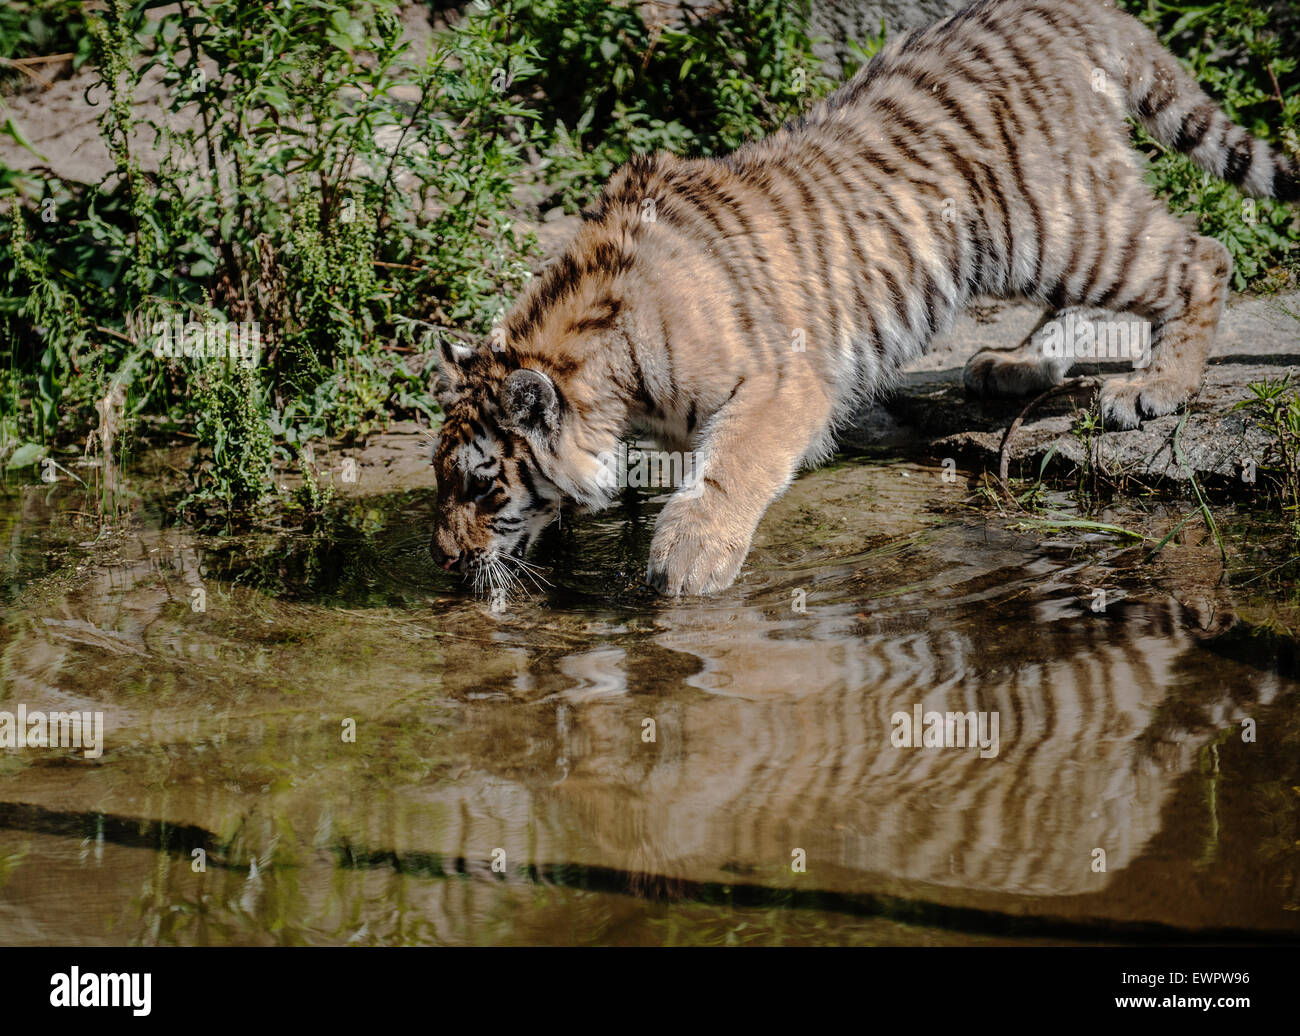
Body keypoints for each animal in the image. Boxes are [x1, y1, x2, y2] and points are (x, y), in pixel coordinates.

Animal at [430, 0, 1299, 597]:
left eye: (483, 485)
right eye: (442, 481)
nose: (442, 557)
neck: (603, 367)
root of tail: (1064, 8)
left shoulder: (783, 380)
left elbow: (730, 467)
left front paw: (689, 560)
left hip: (1052, 223)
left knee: (1203, 256)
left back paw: (1157, 387)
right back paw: (1014, 365)